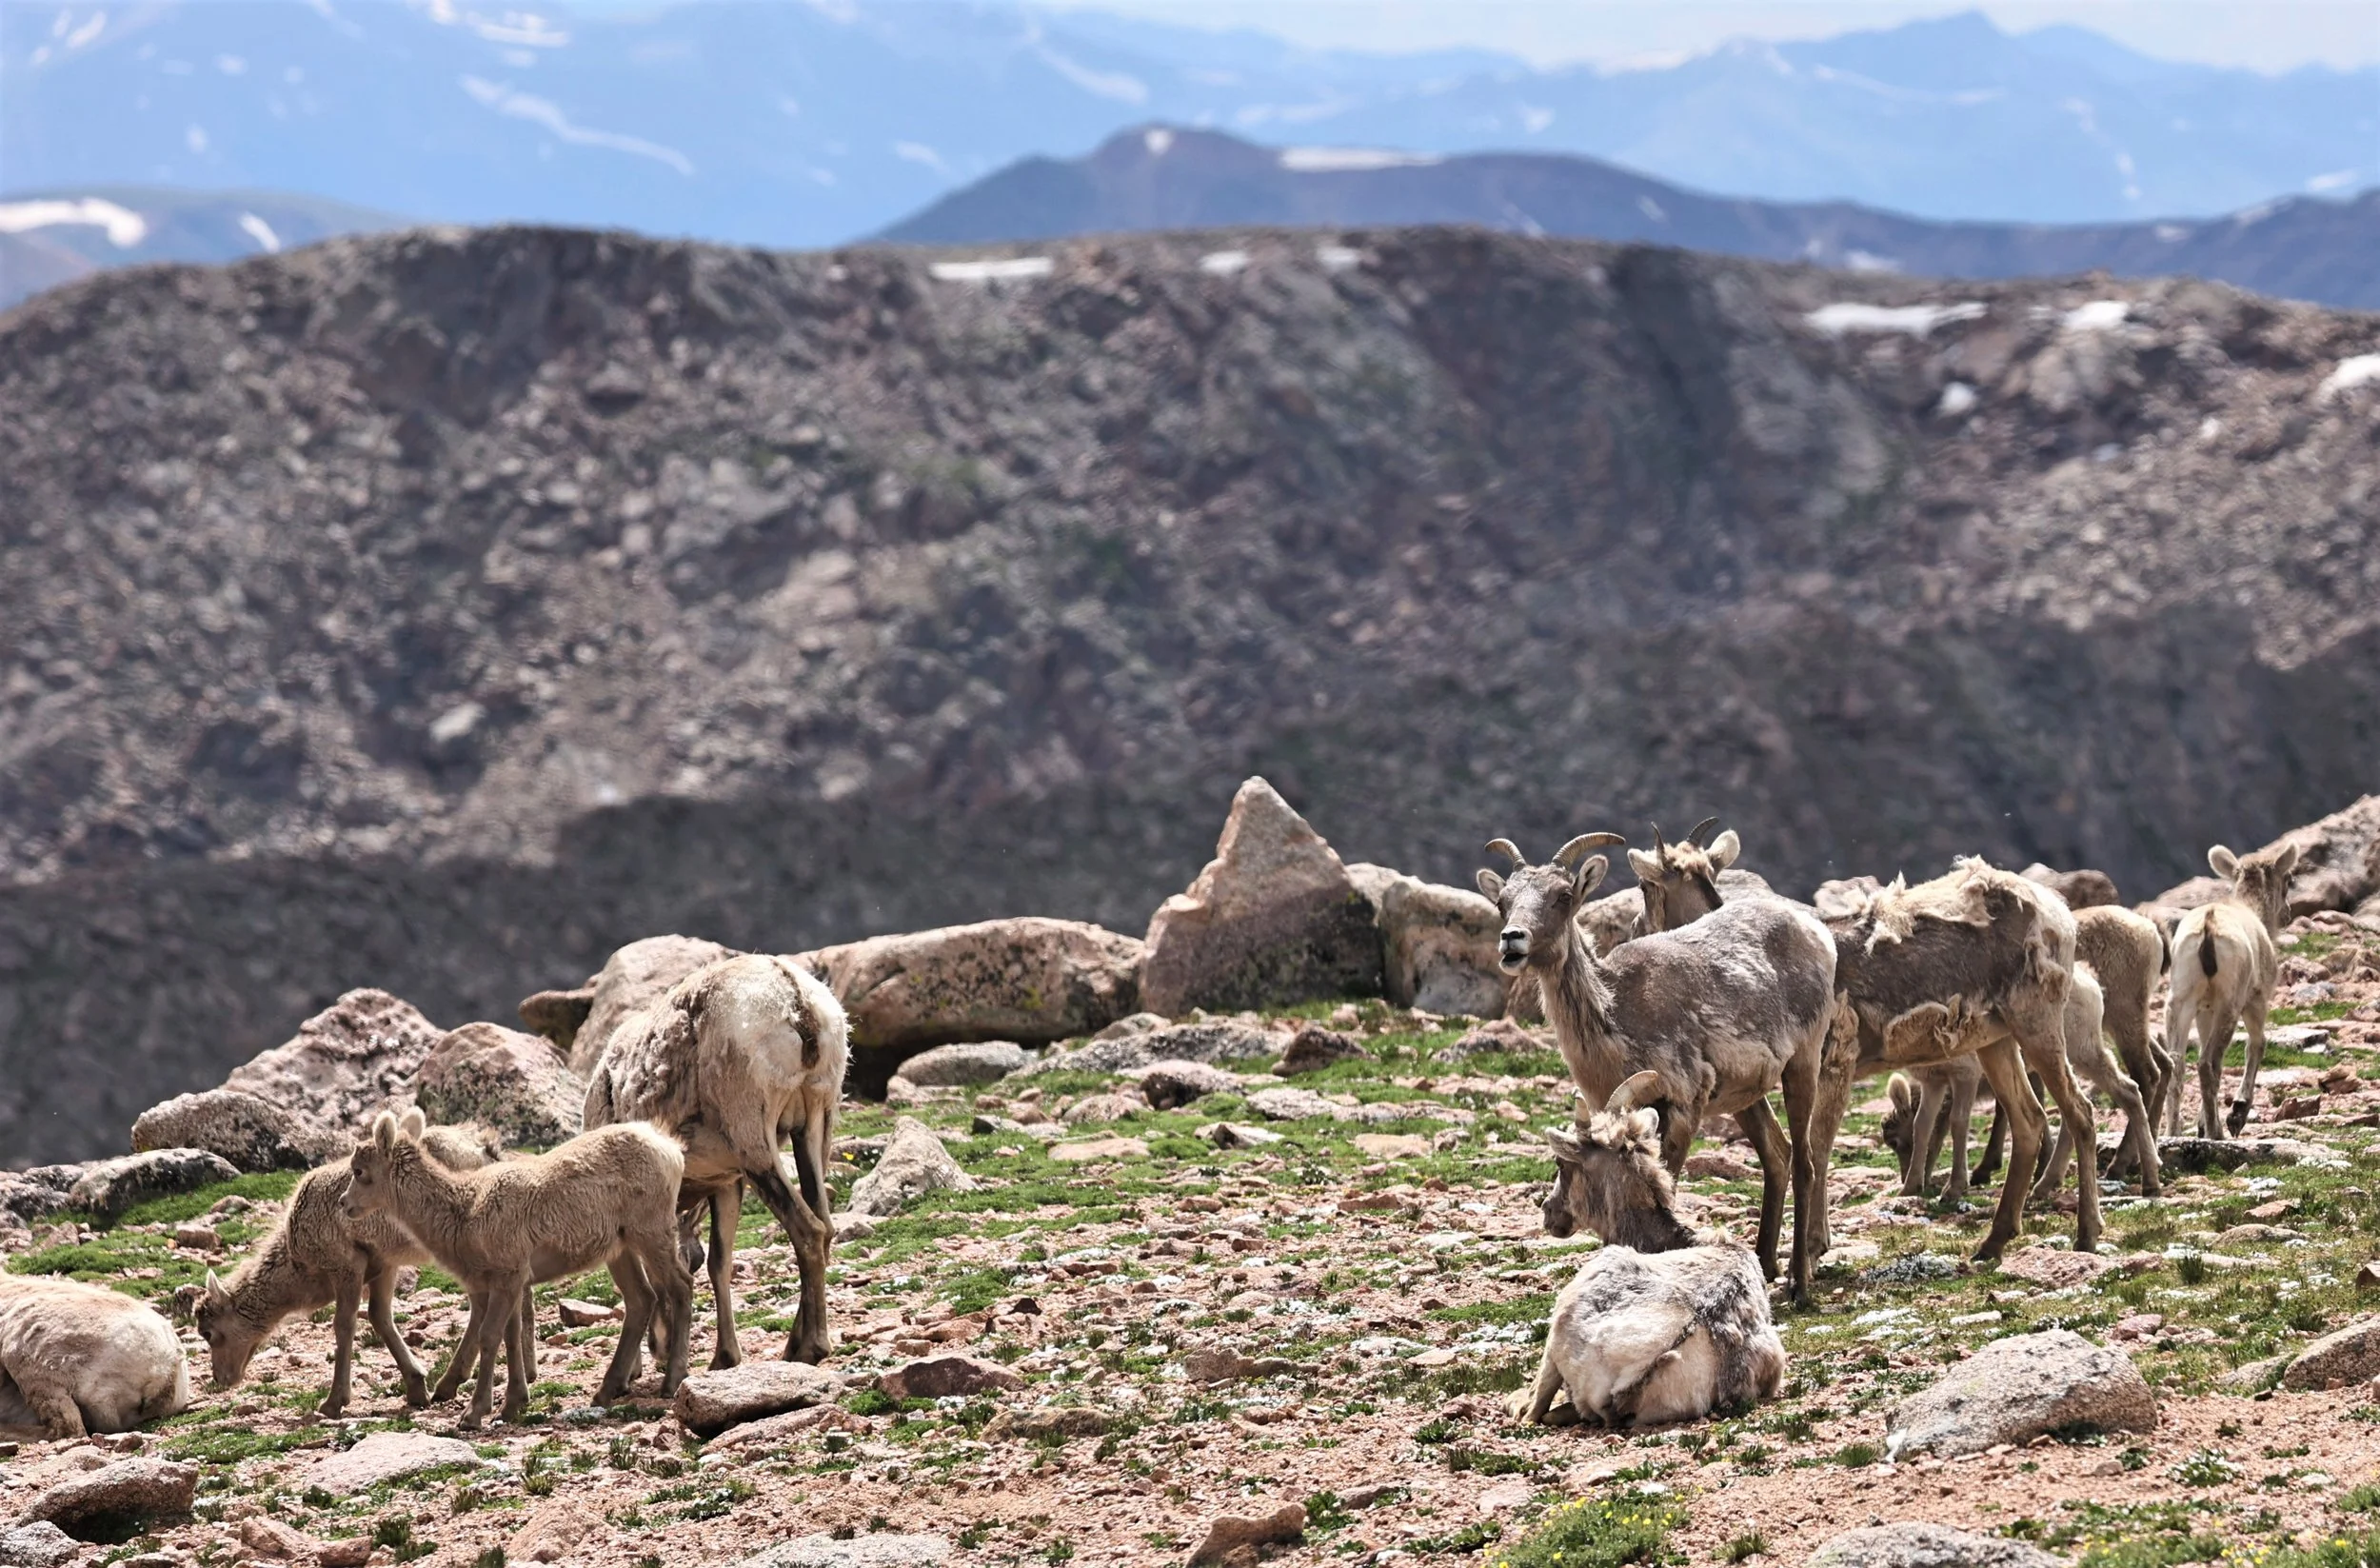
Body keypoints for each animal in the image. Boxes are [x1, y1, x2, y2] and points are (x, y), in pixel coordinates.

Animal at [197, 1121, 514, 1417]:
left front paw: (334, 1402)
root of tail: (486, 1151)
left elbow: (344, 1324)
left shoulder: (346, 1264)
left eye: (208, 1333)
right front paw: (415, 1386)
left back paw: (454, 1382)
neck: (300, 1265)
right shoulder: (383, 1264)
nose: (221, 1378)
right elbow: (379, 1317)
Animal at [343, 1108, 691, 1429]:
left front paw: (473, 1414)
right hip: (620, 1246)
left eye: (359, 1170)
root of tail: (671, 1149)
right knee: (641, 1299)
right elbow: (511, 1337)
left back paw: (672, 1381)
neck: (464, 1212)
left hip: (652, 1229)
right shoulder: (509, 1280)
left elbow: (489, 1336)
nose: (345, 1205)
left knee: (681, 1286)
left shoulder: (508, 1272)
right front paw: (511, 1406)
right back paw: (605, 1391)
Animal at [584, 953, 848, 1366]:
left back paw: (812, 1346)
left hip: (754, 1138)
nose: (660, 1348)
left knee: (808, 1230)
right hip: (815, 1122)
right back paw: (795, 1343)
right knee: (825, 1226)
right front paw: (724, 1356)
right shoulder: (727, 1182)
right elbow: (718, 1263)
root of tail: (796, 999)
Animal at [1477, 832, 1840, 1295]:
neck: (1618, 1016)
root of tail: (1818, 935)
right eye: (1502, 901)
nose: (1513, 940)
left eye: (1564, 896)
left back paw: (1798, 1284)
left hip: (1803, 1064)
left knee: (1805, 1160)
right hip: (1746, 1097)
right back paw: (1765, 1262)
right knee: (1778, 1154)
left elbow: (1670, 1181)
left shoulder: (1684, 1101)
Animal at [2169, 841, 2300, 1139]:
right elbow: (2257, 1044)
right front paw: (2237, 1113)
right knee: (2208, 1064)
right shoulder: (2257, 999)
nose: (2287, 913)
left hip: (2180, 999)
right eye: (2289, 880)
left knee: (2177, 1063)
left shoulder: (2205, 1010)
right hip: (2230, 1002)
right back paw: (2216, 1132)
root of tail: (2208, 927)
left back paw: (2173, 1133)